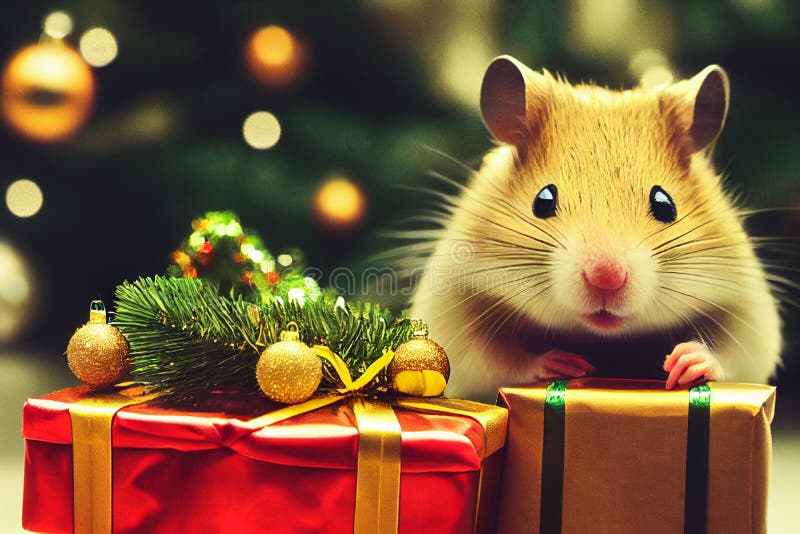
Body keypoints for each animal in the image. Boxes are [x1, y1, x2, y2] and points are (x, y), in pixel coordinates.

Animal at [409, 55, 782, 403]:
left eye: (665, 205)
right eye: (543, 200)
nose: (606, 277)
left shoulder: (749, 308)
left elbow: (733, 356)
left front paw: (685, 362)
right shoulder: (454, 304)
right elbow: (495, 360)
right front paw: (563, 364)